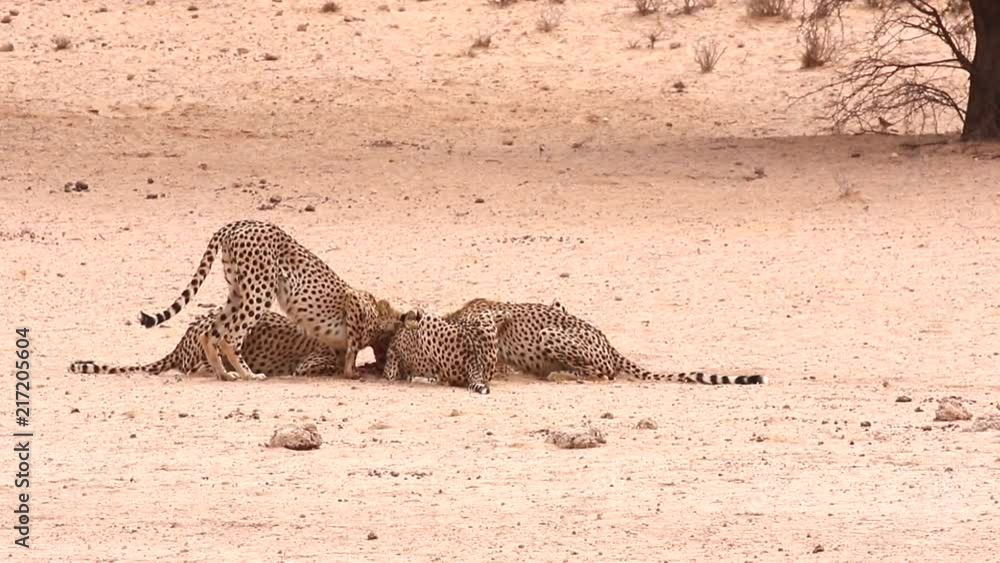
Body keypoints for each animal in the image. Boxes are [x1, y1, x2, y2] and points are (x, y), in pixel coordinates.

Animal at [137, 220, 402, 381]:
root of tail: (240, 223)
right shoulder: (354, 300)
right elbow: (352, 346)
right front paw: (350, 372)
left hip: (238, 291)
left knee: (210, 333)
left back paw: (224, 374)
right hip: (259, 291)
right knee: (230, 338)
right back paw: (248, 375)